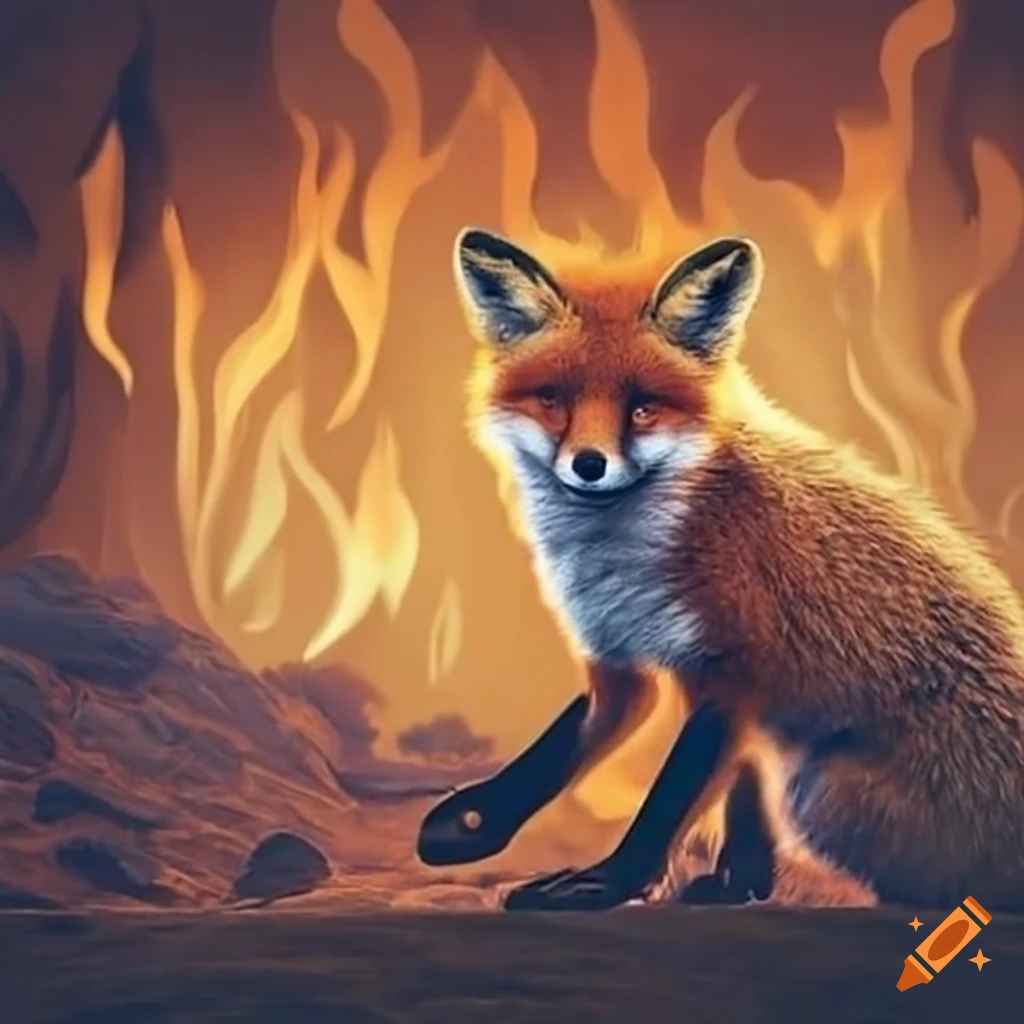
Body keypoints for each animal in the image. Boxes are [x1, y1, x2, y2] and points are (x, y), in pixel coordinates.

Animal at [416, 227, 1024, 913]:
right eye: (553, 401)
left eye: (643, 409)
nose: (589, 465)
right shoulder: (626, 660)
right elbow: (570, 751)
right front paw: (477, 822)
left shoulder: (735, 668)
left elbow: (669, 801)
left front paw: (610, 884)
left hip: (821, 788)